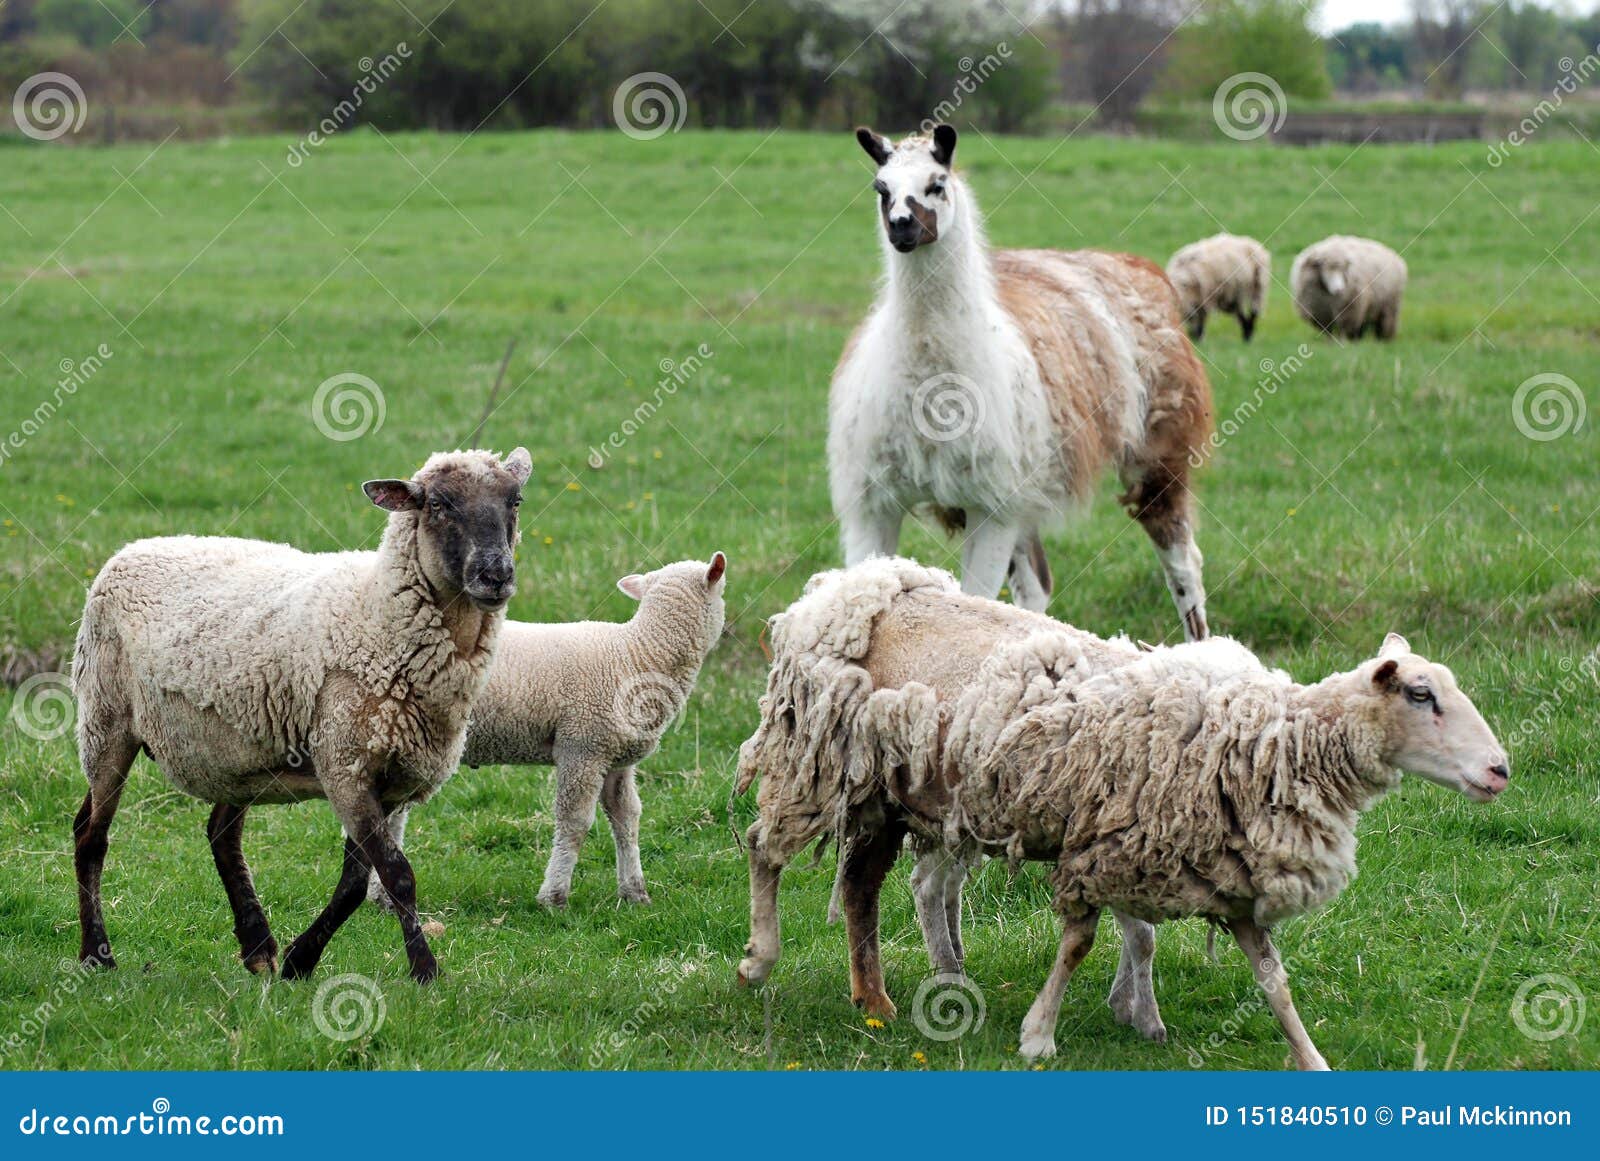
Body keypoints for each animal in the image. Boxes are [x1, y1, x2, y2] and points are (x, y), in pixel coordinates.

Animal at [70, 447, 531, 982]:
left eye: (515, 500)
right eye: (438, 504)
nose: (496, 575)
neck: (378, 613)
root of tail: (129, 550)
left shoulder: (386, 781)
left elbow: (355, 882)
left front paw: (298, 960)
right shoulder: (346, 765)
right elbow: (397, 875)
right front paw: (424, 970)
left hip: (237, 752)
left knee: (221, 835)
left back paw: (258, 948)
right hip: (106, 720)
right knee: (91, 835)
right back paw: (97, 954)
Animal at [366, 553, 728, 912]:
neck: (638, 653)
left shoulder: (616, 759)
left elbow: (627, 818)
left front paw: (635, 893)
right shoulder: (582, 748)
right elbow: (575, 824)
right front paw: (554, 897)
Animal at [733, 558, 1168, 1041]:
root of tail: (844, 585)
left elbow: (1139, 930)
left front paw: (1128, 1007)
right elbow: (1140, 935)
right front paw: (1145, 1019)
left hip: (896, 796)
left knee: (864, 883)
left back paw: (883, 992)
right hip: (818, 767)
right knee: (767, 847)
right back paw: (766, 962)